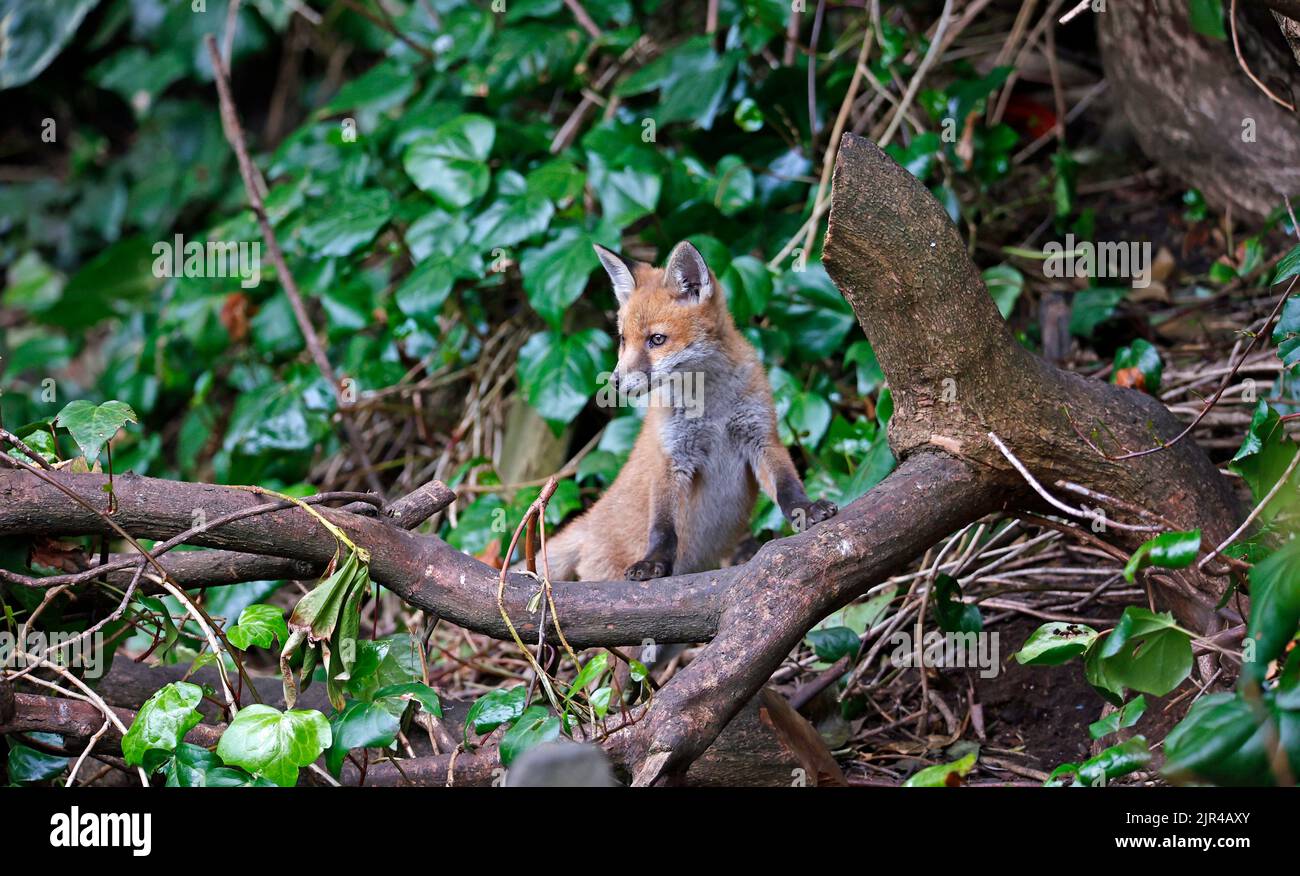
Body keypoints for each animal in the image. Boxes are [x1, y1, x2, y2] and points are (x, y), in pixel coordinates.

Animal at [538, 240, 838, 584]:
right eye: (623, 340)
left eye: (657, 340)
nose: (613, 383)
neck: (712, 408)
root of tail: (587, 521)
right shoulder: (671, 456)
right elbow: (662, 528)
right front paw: (654, 561)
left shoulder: (762, 435)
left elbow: (788, 485)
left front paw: (807, 509)